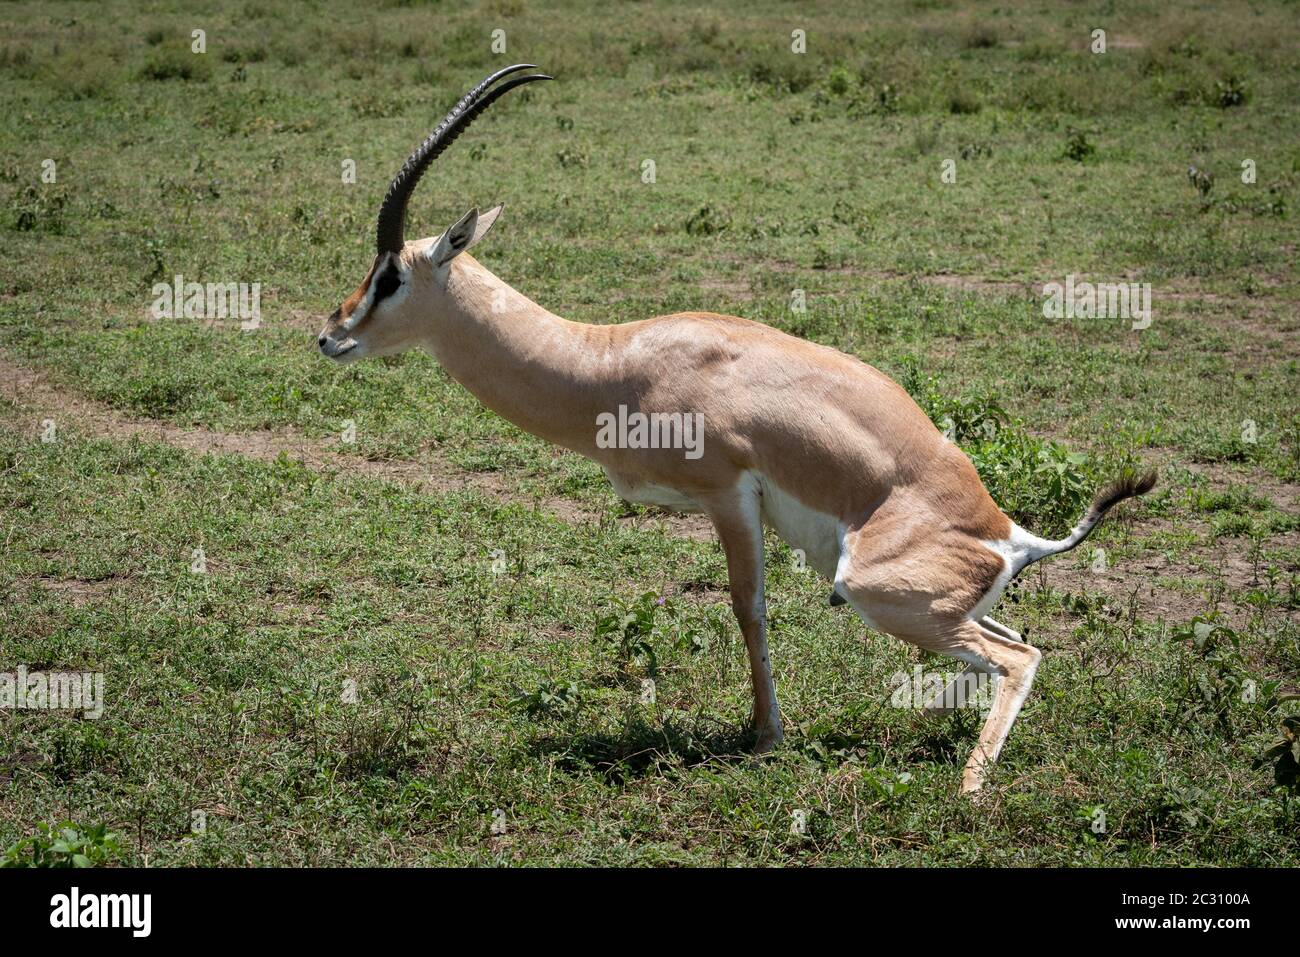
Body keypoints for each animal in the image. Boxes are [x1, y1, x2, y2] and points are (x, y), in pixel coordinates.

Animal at [317, 65, 1156, 793]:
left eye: (391, 275)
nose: (330, 335)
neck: (614, 361)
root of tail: (1009, 533)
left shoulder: (728, 495)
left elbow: (747, 608)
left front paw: (765, 737)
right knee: (1010, 643)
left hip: (865, 585)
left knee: (1020, 656)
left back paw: (969, 788)